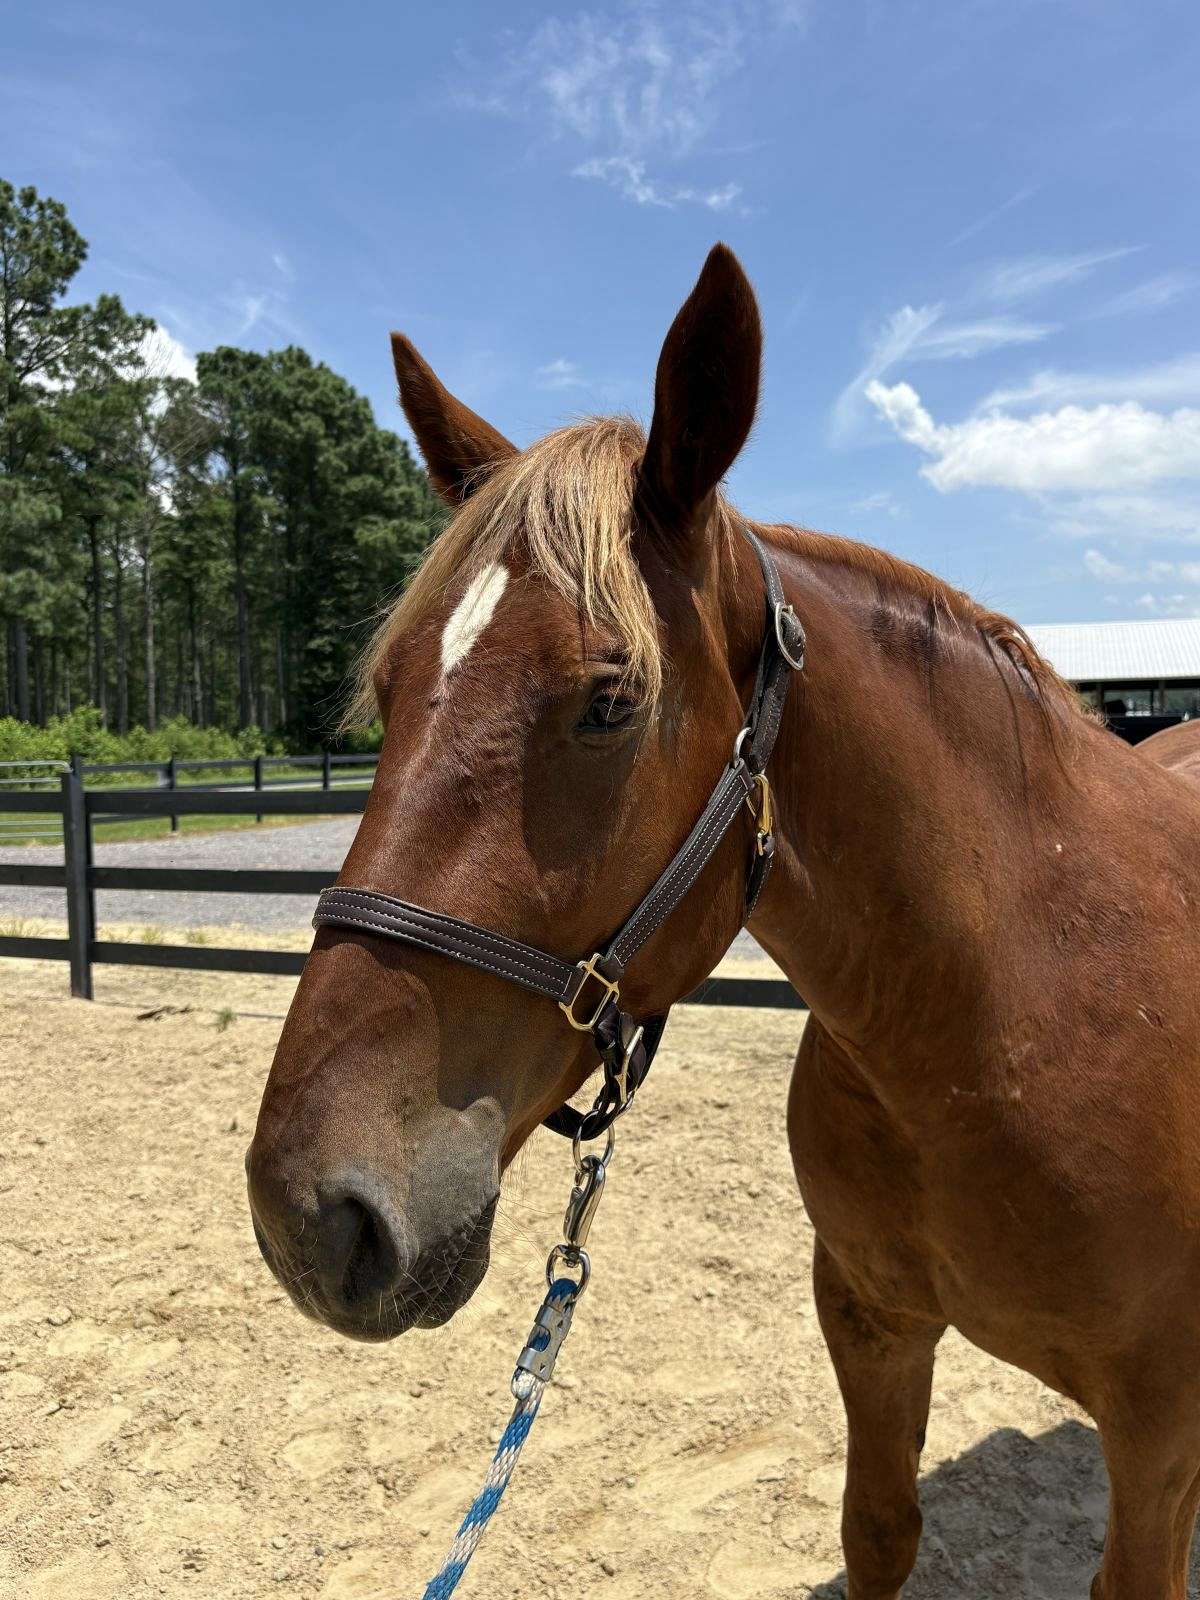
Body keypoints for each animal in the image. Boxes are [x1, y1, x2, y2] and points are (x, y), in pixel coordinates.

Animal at [247, 245, 1200, 1599]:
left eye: (610, 701)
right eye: (389, 688)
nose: (308, 1216)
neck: (1018, 1013)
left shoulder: (1159, 1433)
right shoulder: (871, 1320)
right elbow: (878, 1530)